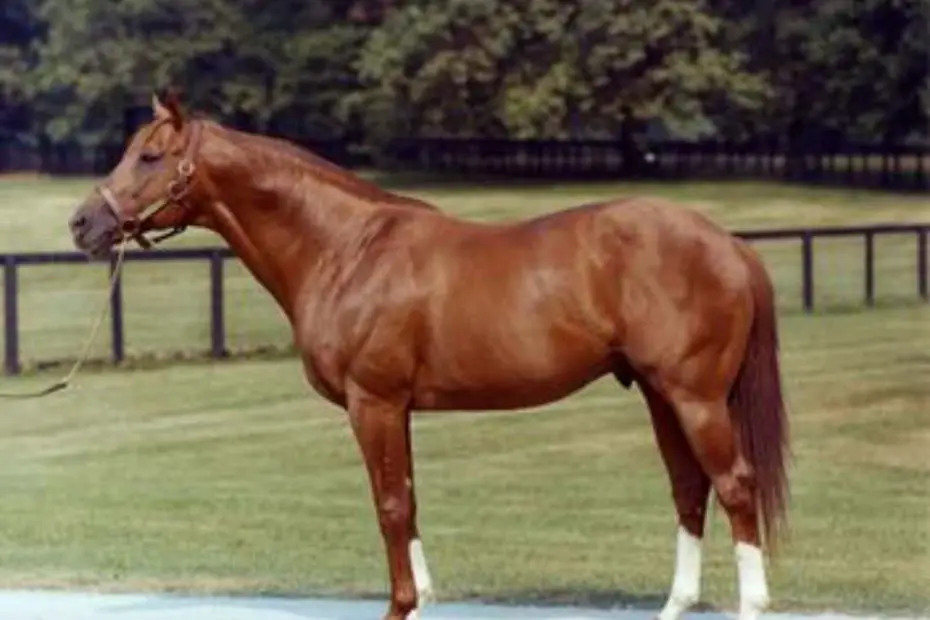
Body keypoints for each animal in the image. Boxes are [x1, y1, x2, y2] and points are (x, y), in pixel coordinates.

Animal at [68, 92, 790, 620]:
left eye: (150, 156)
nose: (82, 224)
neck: (344, 247)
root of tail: (730, 243)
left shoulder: (374, 403)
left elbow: (389, 504)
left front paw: (401, 607)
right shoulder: (398, 408)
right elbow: (407, 500)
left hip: (695, 397)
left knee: (735, 485)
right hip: (660, 394)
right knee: (690, 488)